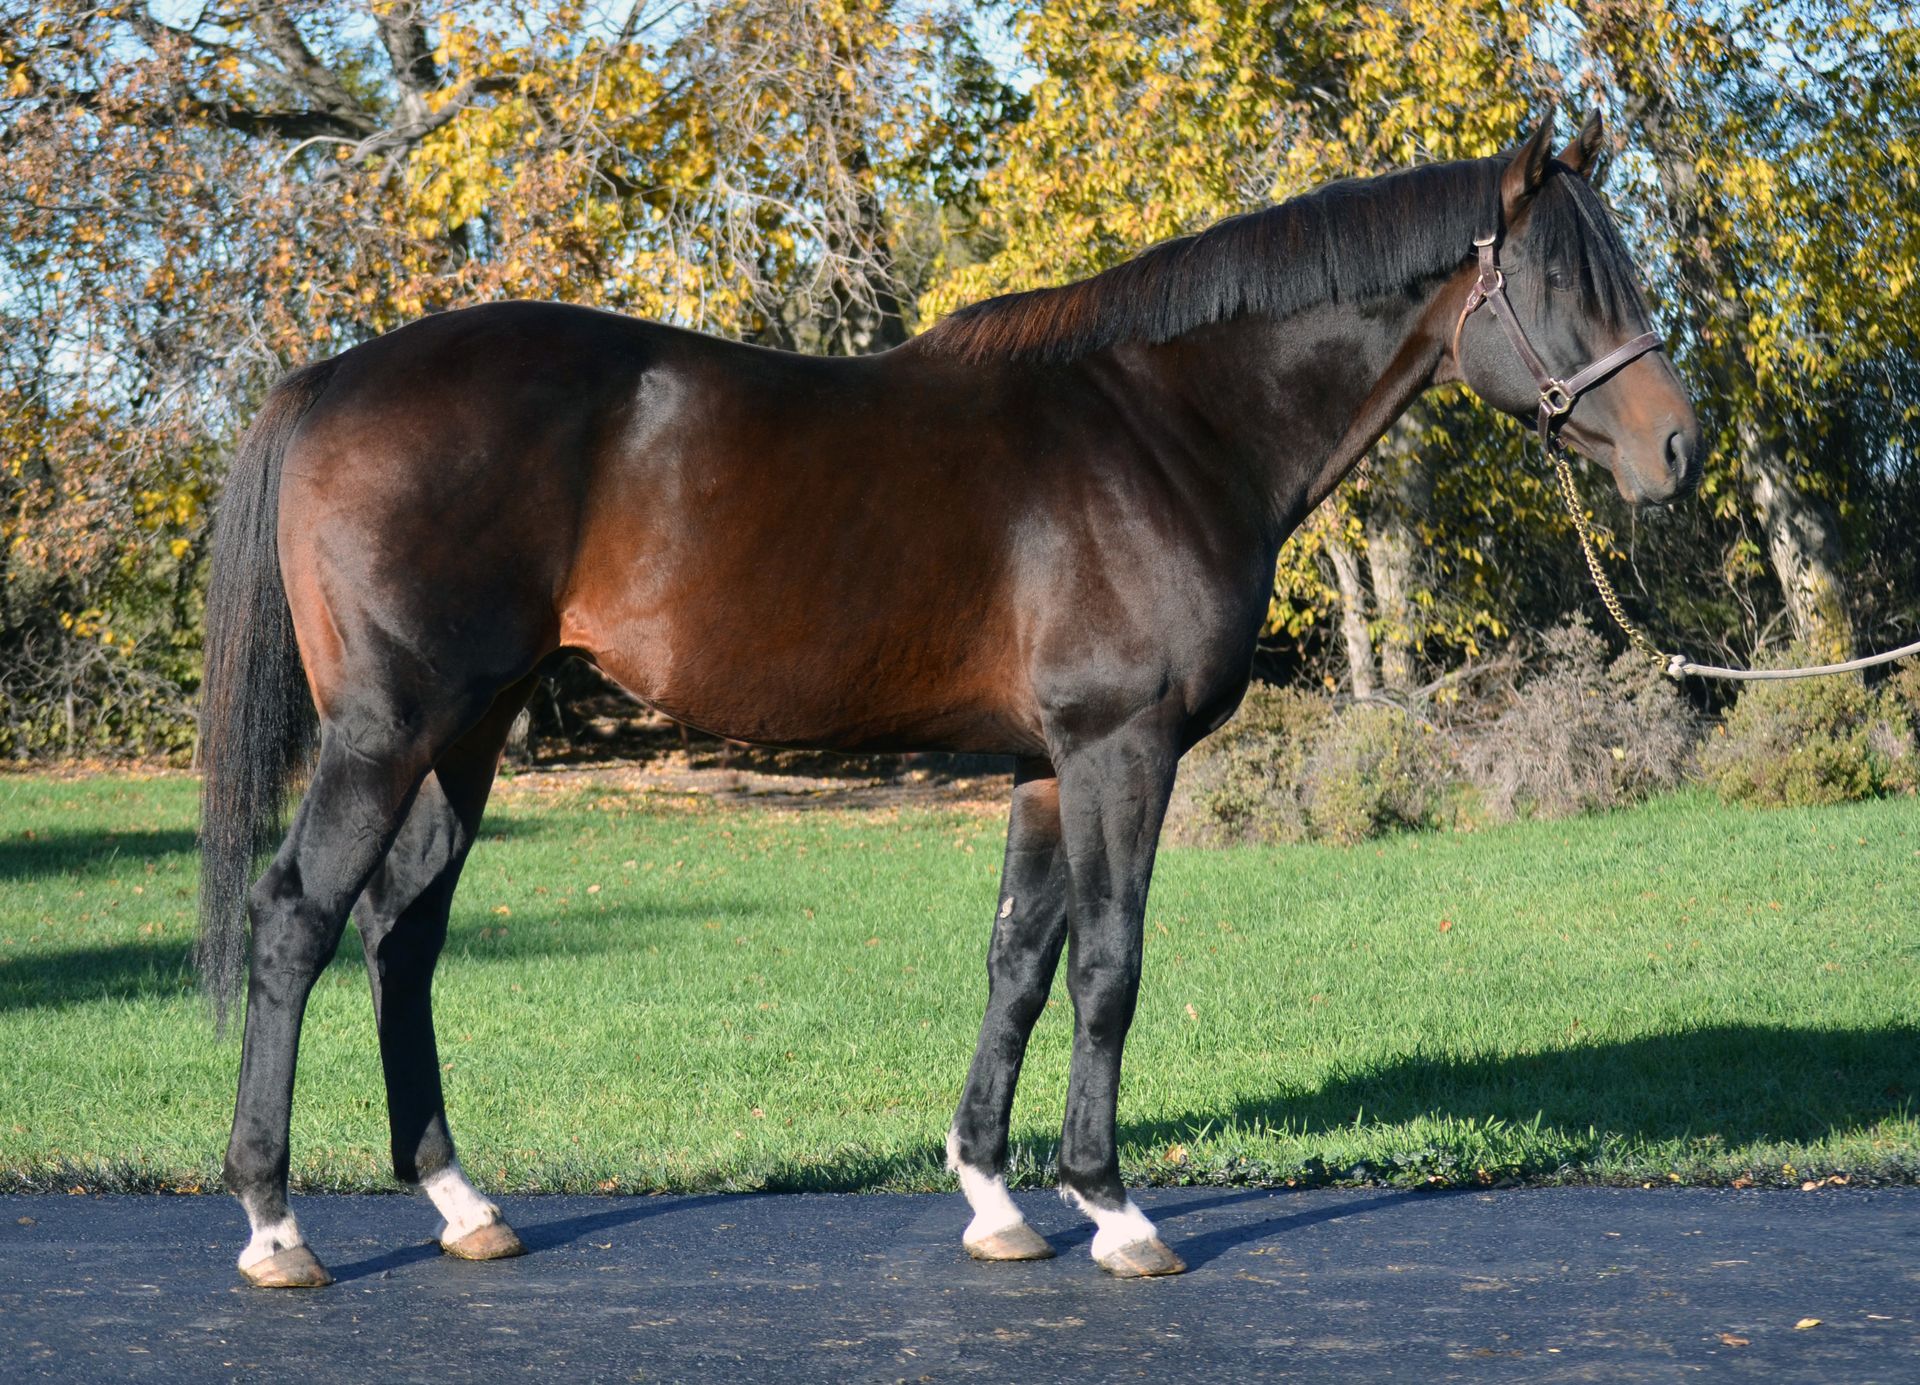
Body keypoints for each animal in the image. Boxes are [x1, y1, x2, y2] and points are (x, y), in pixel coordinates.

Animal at [196, 104, 1700, 1287]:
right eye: (1563, 277)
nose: (1678, 450)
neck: (1165, 431)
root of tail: (329, 377)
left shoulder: (1046, 762)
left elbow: (1018, 961)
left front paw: (992, 1196)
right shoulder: (1120, 749)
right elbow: (1107, 968)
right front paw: (1115, 1207)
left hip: (470, 731)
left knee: (400, 935)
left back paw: (463, 1205)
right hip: (389, 730)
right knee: (296, 920)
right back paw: (274, 1224)